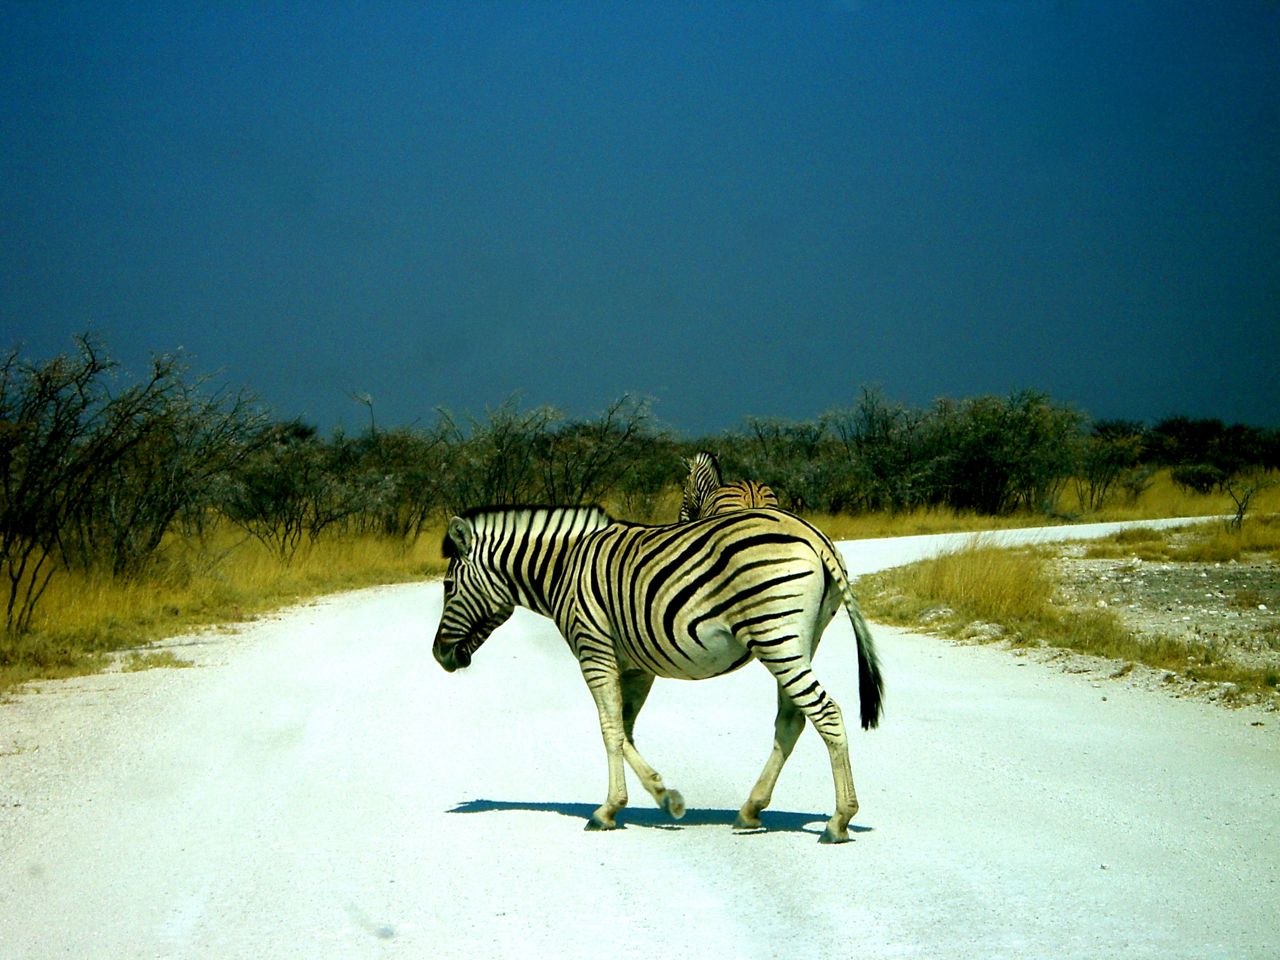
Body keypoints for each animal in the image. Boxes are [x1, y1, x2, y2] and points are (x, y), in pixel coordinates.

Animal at [432, 504, 883, 843]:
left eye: (448, 586)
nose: (439, 655)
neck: (562, 570)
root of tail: (814, 535)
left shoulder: (594, 651)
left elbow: (609, 729)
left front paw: (609, 809)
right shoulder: (636, 666)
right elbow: (624, 730)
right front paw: (662, 796)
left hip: (775, 635)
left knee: (826, 713)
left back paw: (839, 820)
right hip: (799, 639)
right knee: (792, 721)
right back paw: (751, 809)